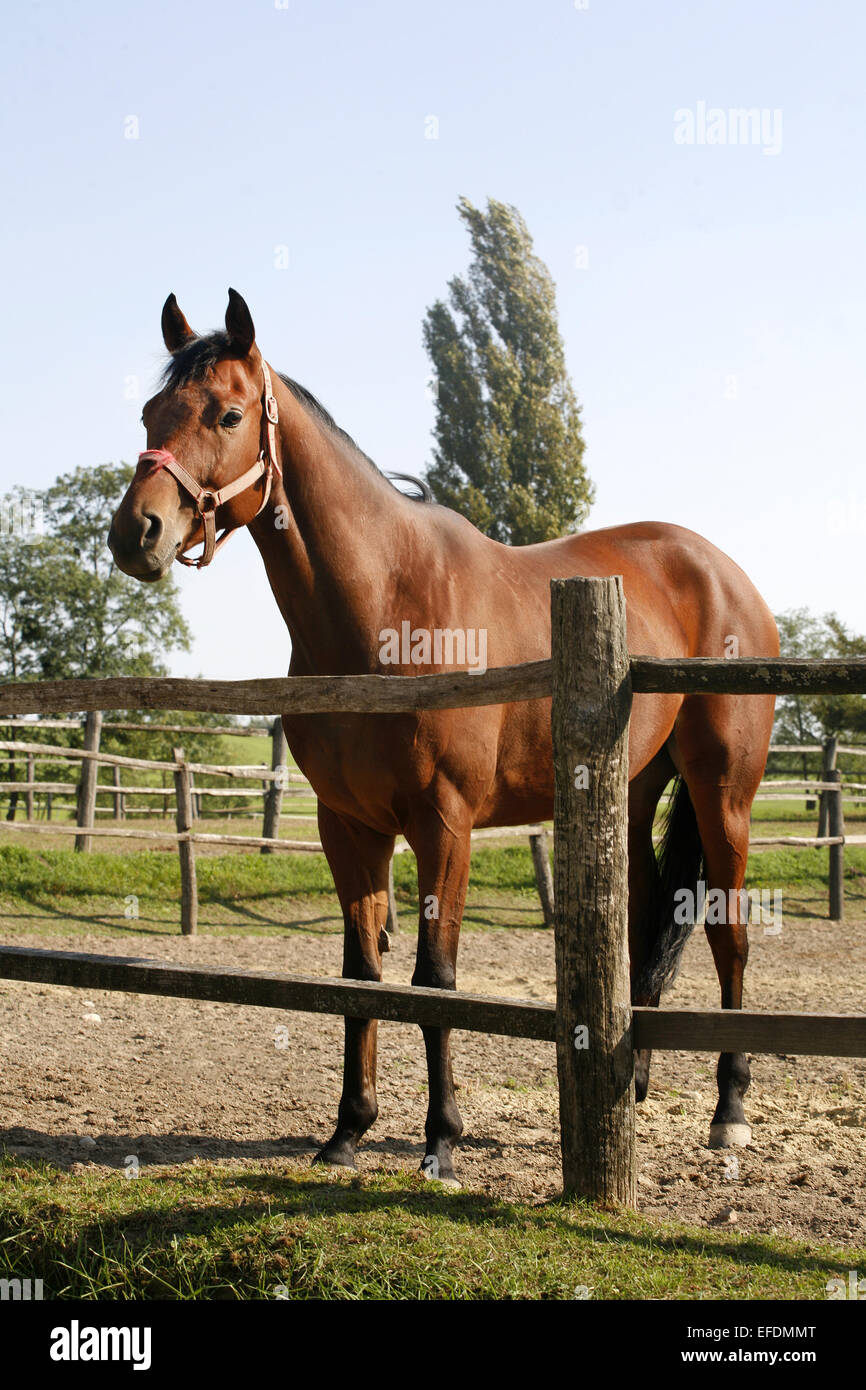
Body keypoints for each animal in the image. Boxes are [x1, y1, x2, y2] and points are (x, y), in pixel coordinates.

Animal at [108, 289, 779, 1186]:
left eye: (227, 413)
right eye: (152, 411)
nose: (135, 533)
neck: (386, 606)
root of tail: (724, 572)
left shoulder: (443, 826)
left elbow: (435, 980)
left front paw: (442, 1141)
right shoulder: (349, 828)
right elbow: (360, 976)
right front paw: (347, 1132)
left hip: (723, 791)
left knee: (728, 933)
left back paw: (729, 1109)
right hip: (634, 792)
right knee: (643, 919)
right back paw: (633, 1085)